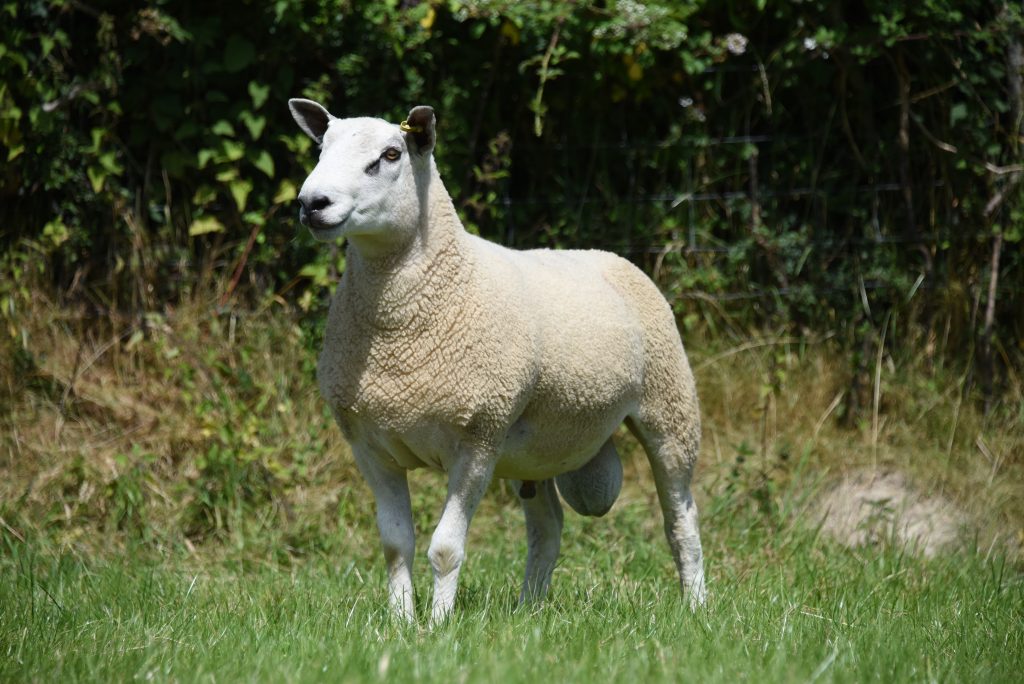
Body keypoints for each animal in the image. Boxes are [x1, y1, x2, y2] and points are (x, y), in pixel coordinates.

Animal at [288, 98, 706, 624]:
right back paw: (528, 612)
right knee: (548, 527)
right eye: (322, 148)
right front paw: (401, 624)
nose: (312, 203)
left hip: (669, 408)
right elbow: (396, 545)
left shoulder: (477, 440)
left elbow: (445, 548)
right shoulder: (370, 447)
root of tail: (607, 255)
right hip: (539, 447)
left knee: (681, 520)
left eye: (390, 155)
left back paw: (697, 607)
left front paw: (437, 625)